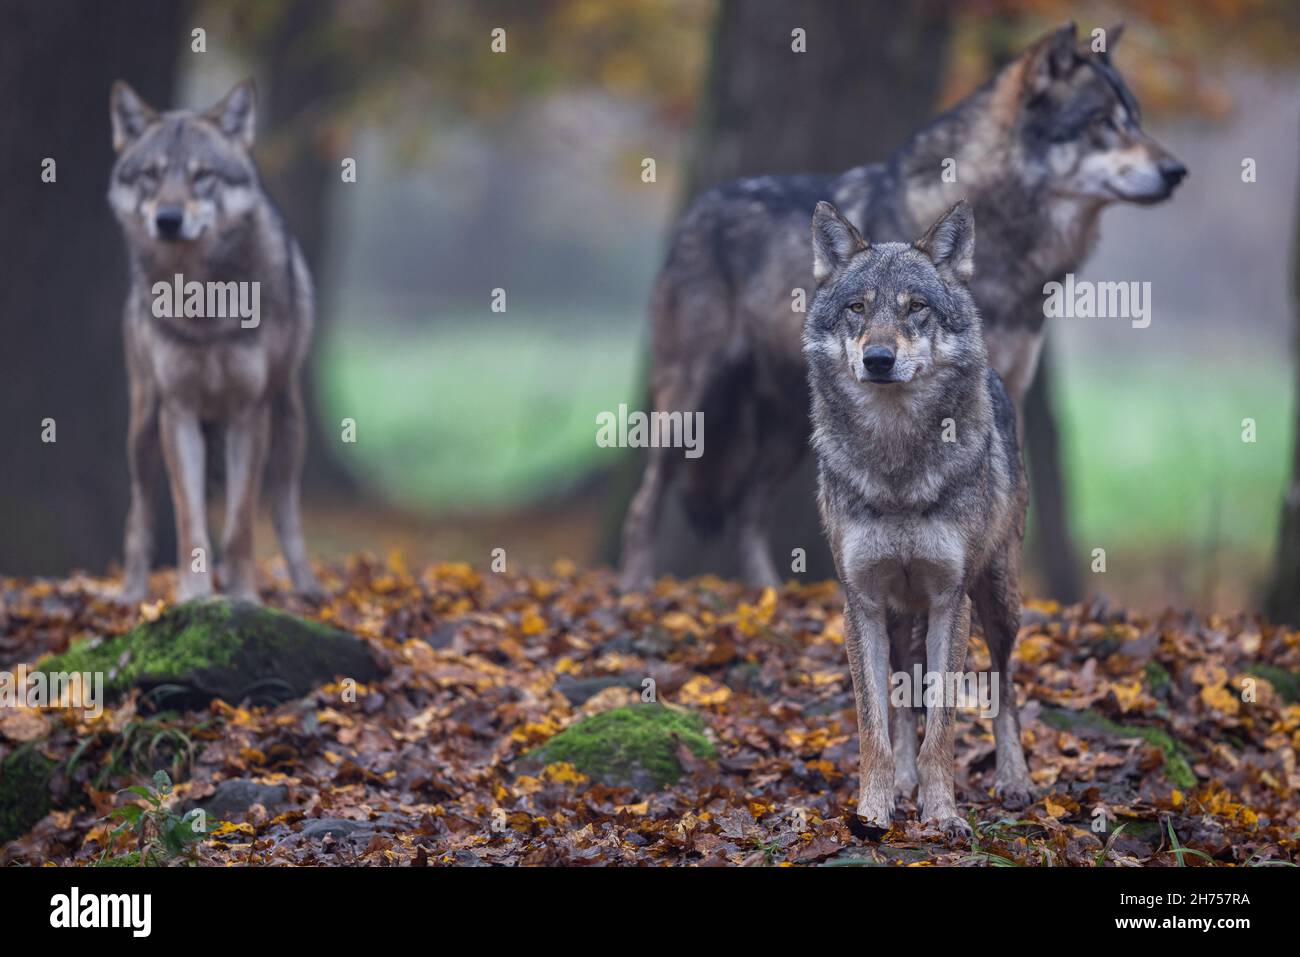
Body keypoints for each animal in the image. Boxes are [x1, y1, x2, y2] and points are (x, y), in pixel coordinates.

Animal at [108, 79, 320, 603]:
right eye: (151, 175)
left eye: (202, 175)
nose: (167, 218)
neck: (203, 300)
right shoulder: (178, 410)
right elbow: (190, 521)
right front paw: (194, 595)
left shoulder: (250, 412)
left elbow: (241, 523)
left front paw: (243, 597)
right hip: (143, 427)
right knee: (140, 514)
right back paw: (130, 594)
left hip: (289, 425)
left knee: (286, 513)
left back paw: (307, 588)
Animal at [619, 23, 1185, 589]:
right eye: (1102, 122)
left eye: (1136, 118)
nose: (1177, 171)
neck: (1010, 250)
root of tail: (697, 209)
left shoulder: (1009, 390)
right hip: (690, 410)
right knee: (646, 502)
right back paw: (638, 587)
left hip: (788, 430)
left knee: (746, 512)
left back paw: (770, 597)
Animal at [806, 199, 1028, 839]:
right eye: (858, 308)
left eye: (916, 308)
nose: (878, 358)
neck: (897, 469)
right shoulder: (862, 603)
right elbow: (875, 728)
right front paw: (873, 810)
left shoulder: (950, 601)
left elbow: (943, 731)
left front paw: (944, 816)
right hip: (901, 612)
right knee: (905, 703)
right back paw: (902, 786)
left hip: (998, 600)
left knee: (1006, 688)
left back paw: (1014, 780)